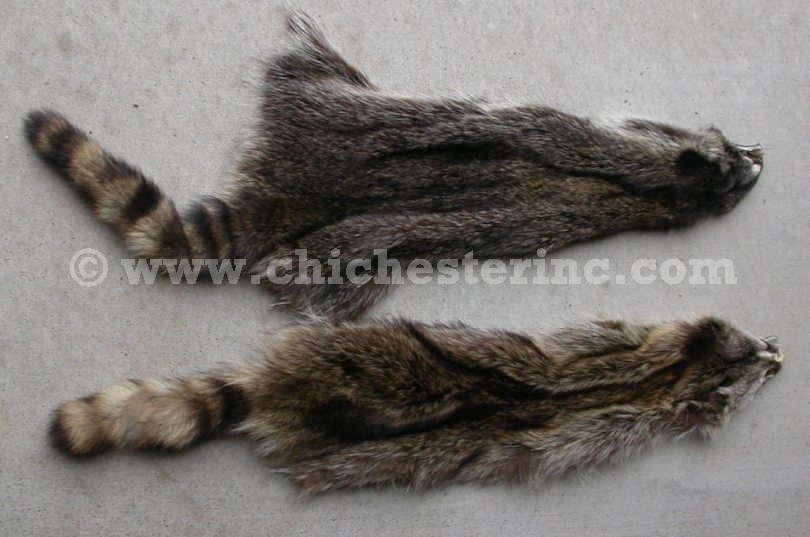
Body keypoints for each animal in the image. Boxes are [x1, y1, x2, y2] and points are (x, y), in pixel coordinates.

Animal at [24, 12, 763, 319]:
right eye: (730, 149)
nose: (762, 158)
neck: (668, 189)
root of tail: (297, 191)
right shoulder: (606, 136)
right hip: (337, 112)